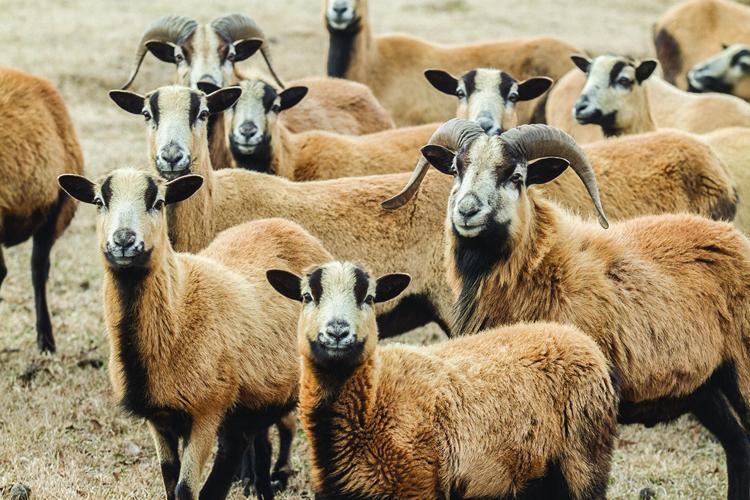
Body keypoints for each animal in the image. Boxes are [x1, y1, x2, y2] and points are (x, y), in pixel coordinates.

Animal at [57, 167, 332, 500]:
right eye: (99, 201)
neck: (179, 307)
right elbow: (169, 480)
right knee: (258, 446)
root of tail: (286, 225)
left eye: (159, 202)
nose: (124, 240)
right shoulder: (158, 419)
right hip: (257, 397)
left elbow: (185, 488)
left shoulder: (206, 412)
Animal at [266, 261, 619, 499]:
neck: (373, 403)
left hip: (585, 460)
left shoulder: (416, 486)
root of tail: (571, 333)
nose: (337, 332)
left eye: (368, 297)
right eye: (307, 296)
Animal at [384, 118, 750, 500]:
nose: (467, 211)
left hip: (742, 371)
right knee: (738, 443)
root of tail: (733, 237)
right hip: (705, 388)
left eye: (516, 176)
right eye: (457, 168)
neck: (545, 268)